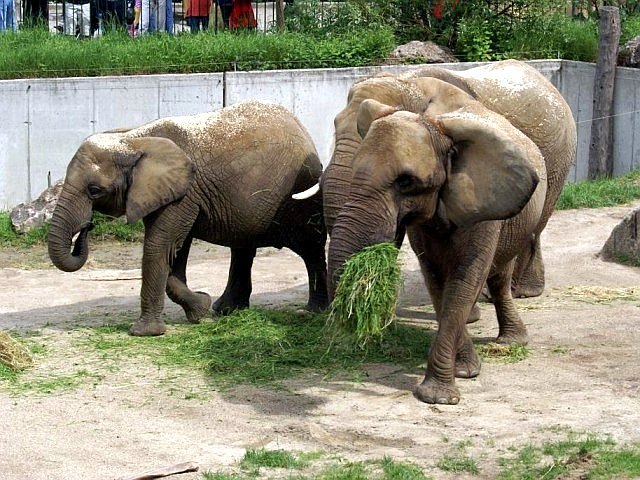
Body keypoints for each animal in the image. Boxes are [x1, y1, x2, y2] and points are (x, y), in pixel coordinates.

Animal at [48, 100, 329, 336]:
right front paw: (200, 308)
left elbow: (159, 246)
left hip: (299, 193)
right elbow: (174, 251)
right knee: (243, 248)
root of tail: (301, 127)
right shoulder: (168, 193)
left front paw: (144, 332)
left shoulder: (183, 194)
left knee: (310, 248)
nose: (86, 226)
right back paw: (226, 310)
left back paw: (314, 311)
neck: (133, 139)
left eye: (94, 190)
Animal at [318, 60, 576, 404]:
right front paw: (464, 370)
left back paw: (517, 318)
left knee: (522, 245)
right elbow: (437, 280)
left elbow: (464, 277)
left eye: (406, 182)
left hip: (560, 158)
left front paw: (440, 394)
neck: (410, 83)